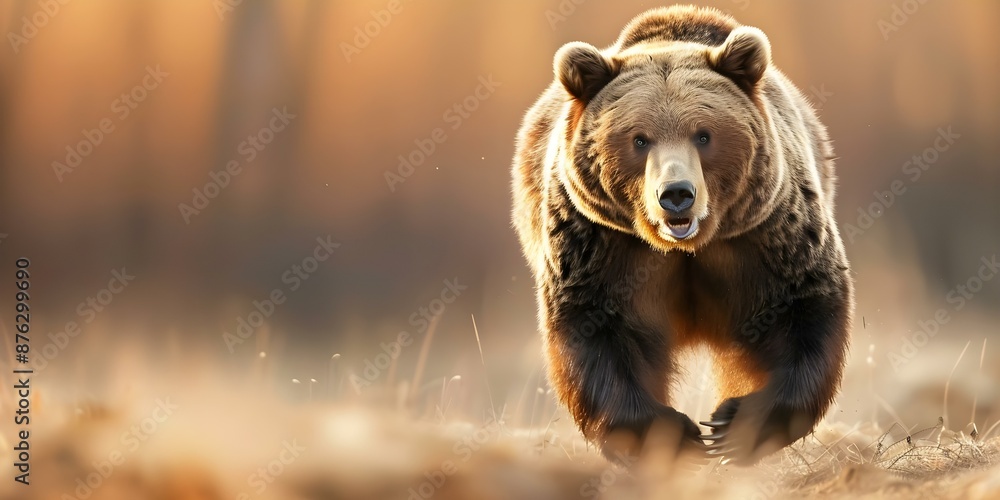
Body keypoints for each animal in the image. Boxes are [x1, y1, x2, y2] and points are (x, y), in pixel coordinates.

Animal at [511, 5, 853, 466]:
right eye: (639, 139)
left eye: (704, 134)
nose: (676, 194)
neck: (685, 249)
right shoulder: (600, 247)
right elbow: (593, 333)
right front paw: (678, 437)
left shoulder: (766, 237)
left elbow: (804, 309)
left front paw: (731, 427)